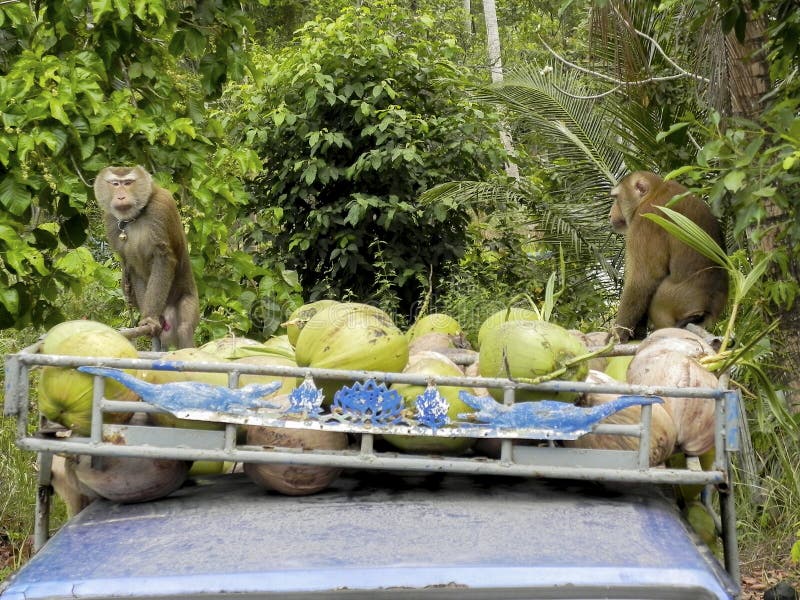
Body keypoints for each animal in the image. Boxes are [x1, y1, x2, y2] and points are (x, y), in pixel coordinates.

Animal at [94, 166, 199, 349]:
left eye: (128, 183)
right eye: (115, 184)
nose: (120, 196)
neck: (135, 216)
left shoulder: (160, 209)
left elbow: (163, 258)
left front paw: (149, 319)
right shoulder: (110, 220)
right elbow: (132, 268)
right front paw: (149, 321)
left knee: (184, 328)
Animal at [609, 171, 728, 342]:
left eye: (616, 198)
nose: (610, 214)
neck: (655, 191)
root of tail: (706, 308)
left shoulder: (644, 222)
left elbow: (643, 280)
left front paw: (618, 334)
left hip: (672, 299)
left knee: (656, 302)